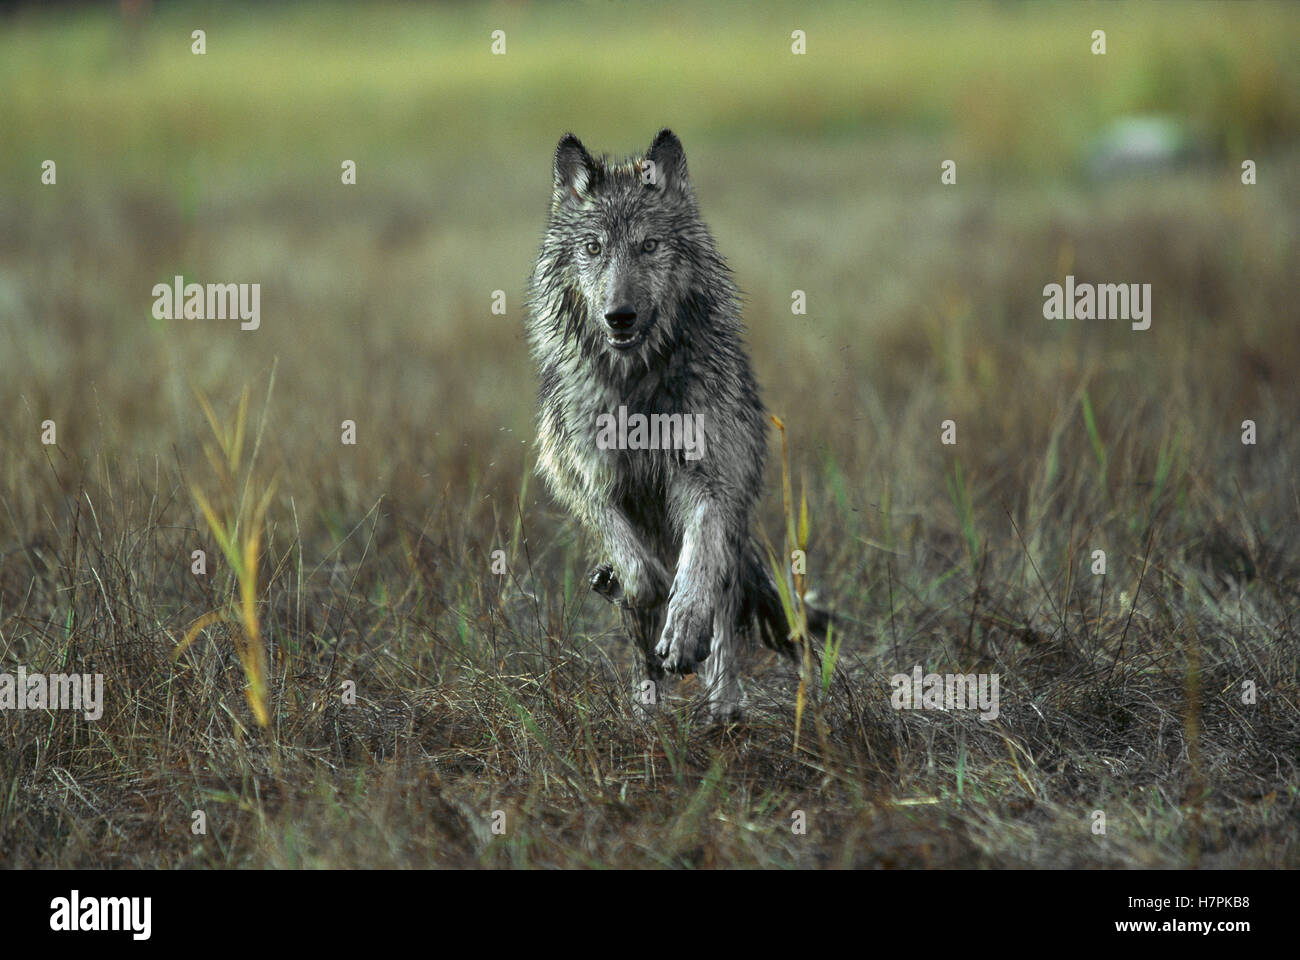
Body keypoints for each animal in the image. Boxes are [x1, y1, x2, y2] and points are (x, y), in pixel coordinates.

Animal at [526, 129, 826, 720]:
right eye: (593, 248)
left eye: (649, 246)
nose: (619, 315)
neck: (636, 387)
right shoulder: (581, 479)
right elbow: (638, 570)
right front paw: (641, 591)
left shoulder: (709, 482)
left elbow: (697, 567)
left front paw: (684, 627)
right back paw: (645, 706)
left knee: (724, 616)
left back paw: (724, 704)